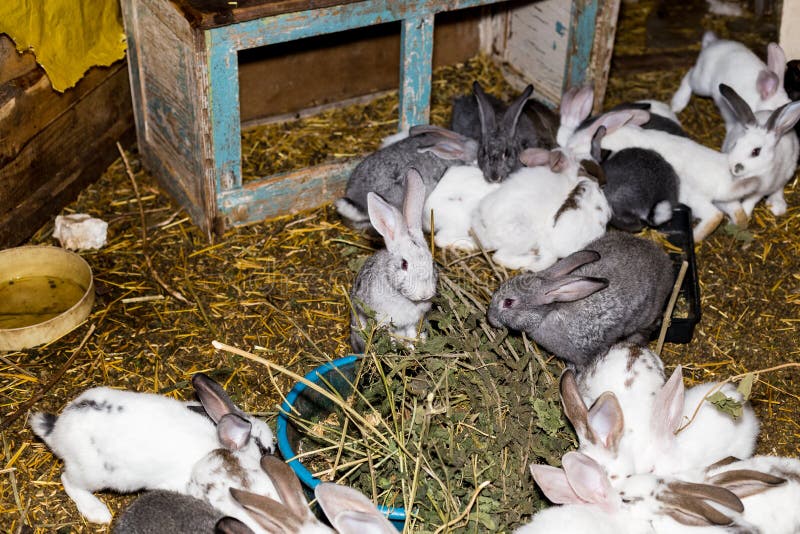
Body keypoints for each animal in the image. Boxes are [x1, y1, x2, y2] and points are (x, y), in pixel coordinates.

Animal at [29, 373, 275, 525]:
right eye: (265, 451)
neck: (217, 442)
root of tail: (57, 430)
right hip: (92, 474)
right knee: (68, 480)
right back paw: (98, 512)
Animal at [349, 169, 437, 353]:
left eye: (432, 262)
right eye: (404, 264)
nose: (425, 294)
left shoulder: (412, 322)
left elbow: (411, 333)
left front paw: (413, 347)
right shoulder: (384, 321)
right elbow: (390, 335)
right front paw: (397, 347)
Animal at [717, 83, 800, 218]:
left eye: (756, 152)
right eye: (736, 144)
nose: (735, 168)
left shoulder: (760, 191)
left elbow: (749, 202)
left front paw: (743, 216)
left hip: (788, 172)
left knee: (779, 188)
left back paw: (777, 206)